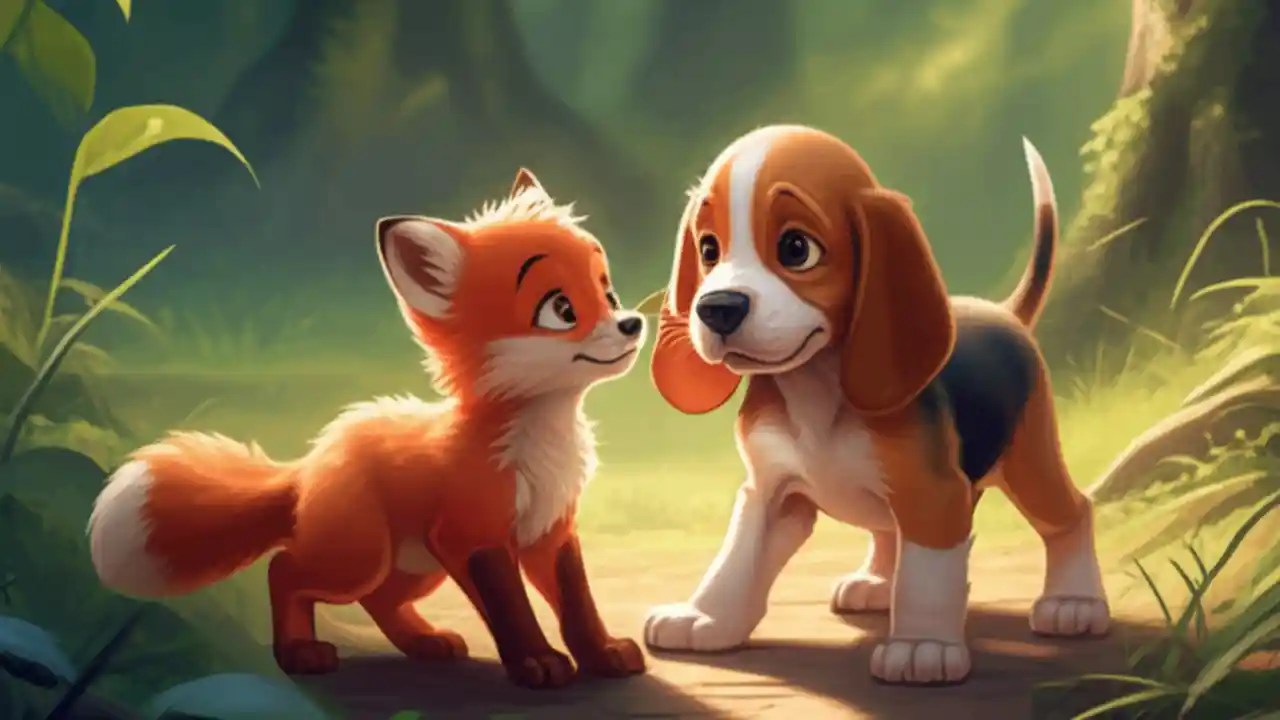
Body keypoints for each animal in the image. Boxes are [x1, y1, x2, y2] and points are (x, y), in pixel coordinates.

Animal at [86, 168, 649, 689]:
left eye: (608, 292)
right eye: (560, 309)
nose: (632, 323)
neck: (539, 443)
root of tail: (311, 462)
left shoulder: (549, 533)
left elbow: (578, 605)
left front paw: (602, 654)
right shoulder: (473, 534)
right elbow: (510, 607)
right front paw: (536, 661)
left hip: (415, 567)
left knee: (378, 600)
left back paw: (424, 642)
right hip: (360, 558)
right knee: (284, 569)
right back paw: (300, 653)